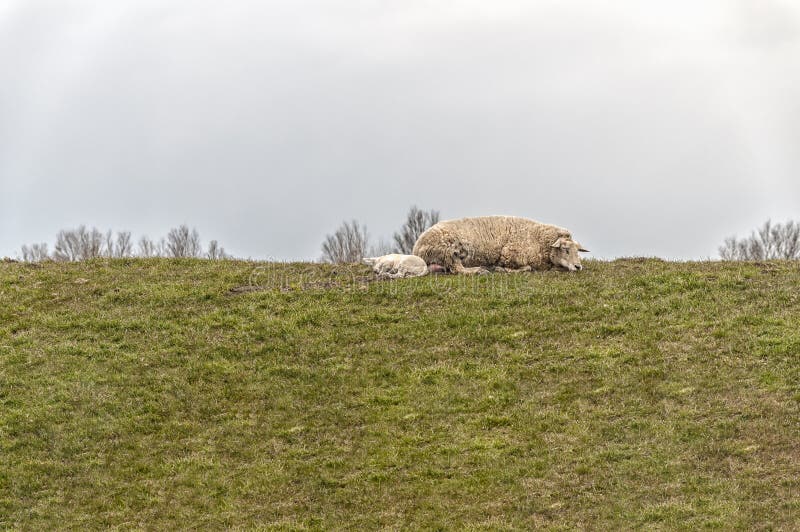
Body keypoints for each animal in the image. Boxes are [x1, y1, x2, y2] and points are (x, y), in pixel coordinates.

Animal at [412, 215, 589, 274]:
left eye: (577, 251)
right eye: (565, 250)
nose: (578, 267)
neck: (537, 238)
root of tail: (417, 247)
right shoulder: (510, 255)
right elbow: (526, 268)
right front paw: (500, 269)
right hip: (450, 251)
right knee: (457, 269)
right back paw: (479, 270)